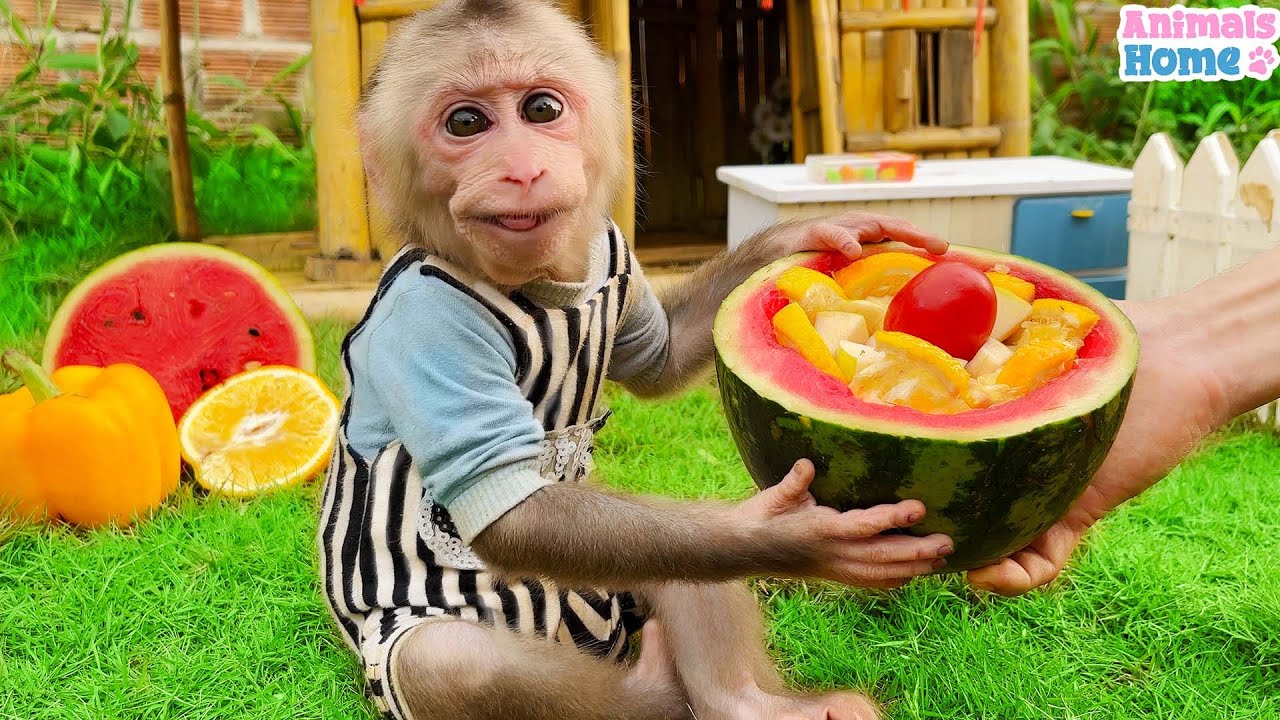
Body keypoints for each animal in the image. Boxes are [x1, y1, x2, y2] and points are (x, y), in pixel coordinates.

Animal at [316, 2, 957, 719]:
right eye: (465, 123)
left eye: (542, 109)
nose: (521, 169)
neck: (545, 287)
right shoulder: (430, 326)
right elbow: (504, 498)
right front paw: (791, 537)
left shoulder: (611, 247)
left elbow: (659, 355)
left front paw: (807, 231)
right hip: (414, 644)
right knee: (456, 661)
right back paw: (653, 685)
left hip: (617, 582)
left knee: (681, 557)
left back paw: (753, 702)